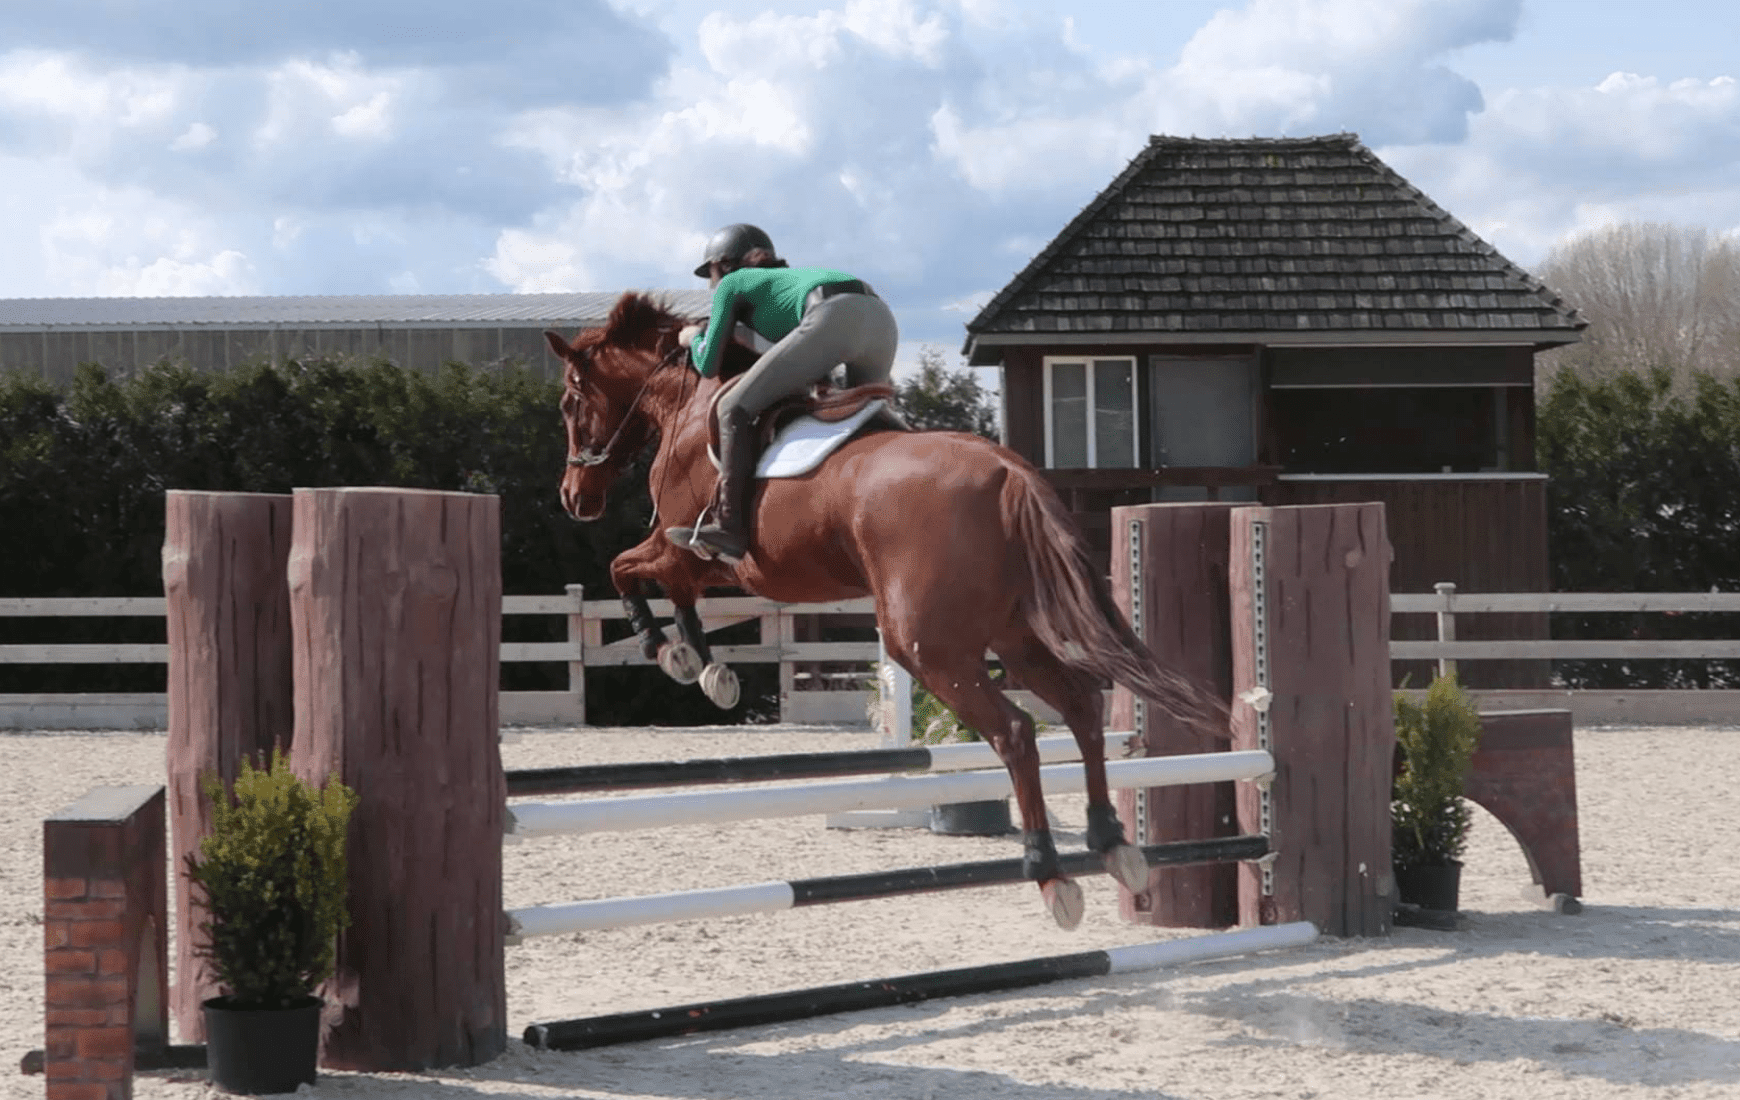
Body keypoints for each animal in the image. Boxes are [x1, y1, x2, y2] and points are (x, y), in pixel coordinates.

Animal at [547, 292, 1226, 928]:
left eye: (569, 403)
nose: (574, 498)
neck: (687, 405)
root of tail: (1006, 469)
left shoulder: (686, 546)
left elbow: (625, 569)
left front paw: (674, 653)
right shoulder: (701, 563)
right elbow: (662, 586)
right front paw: (705, 664)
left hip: (929, 646)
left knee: (1014, 731)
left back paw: (1049, 871)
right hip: (1014, 636)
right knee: (1081, 707)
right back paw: (1113, 843)